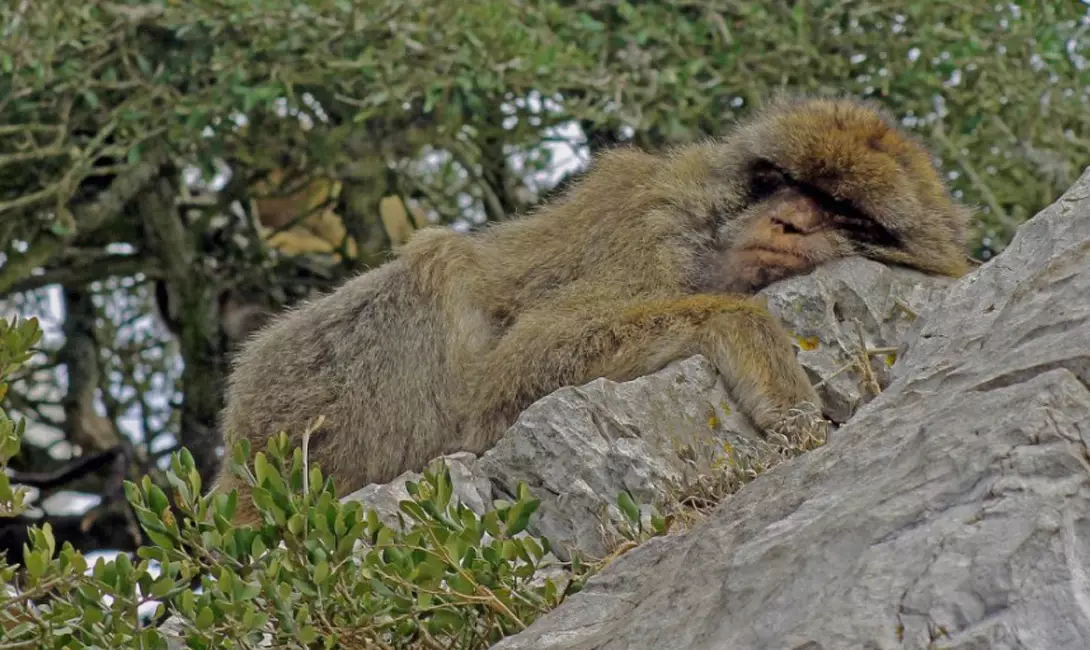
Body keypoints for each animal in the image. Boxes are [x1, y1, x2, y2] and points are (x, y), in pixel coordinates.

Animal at [212, 95, 972, 523]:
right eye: (790, 182)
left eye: (840, 207)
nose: (789, 221)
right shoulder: (647, 231)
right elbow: (520, 361)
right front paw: (756, 344)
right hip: (302, 412)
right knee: (443, 275)